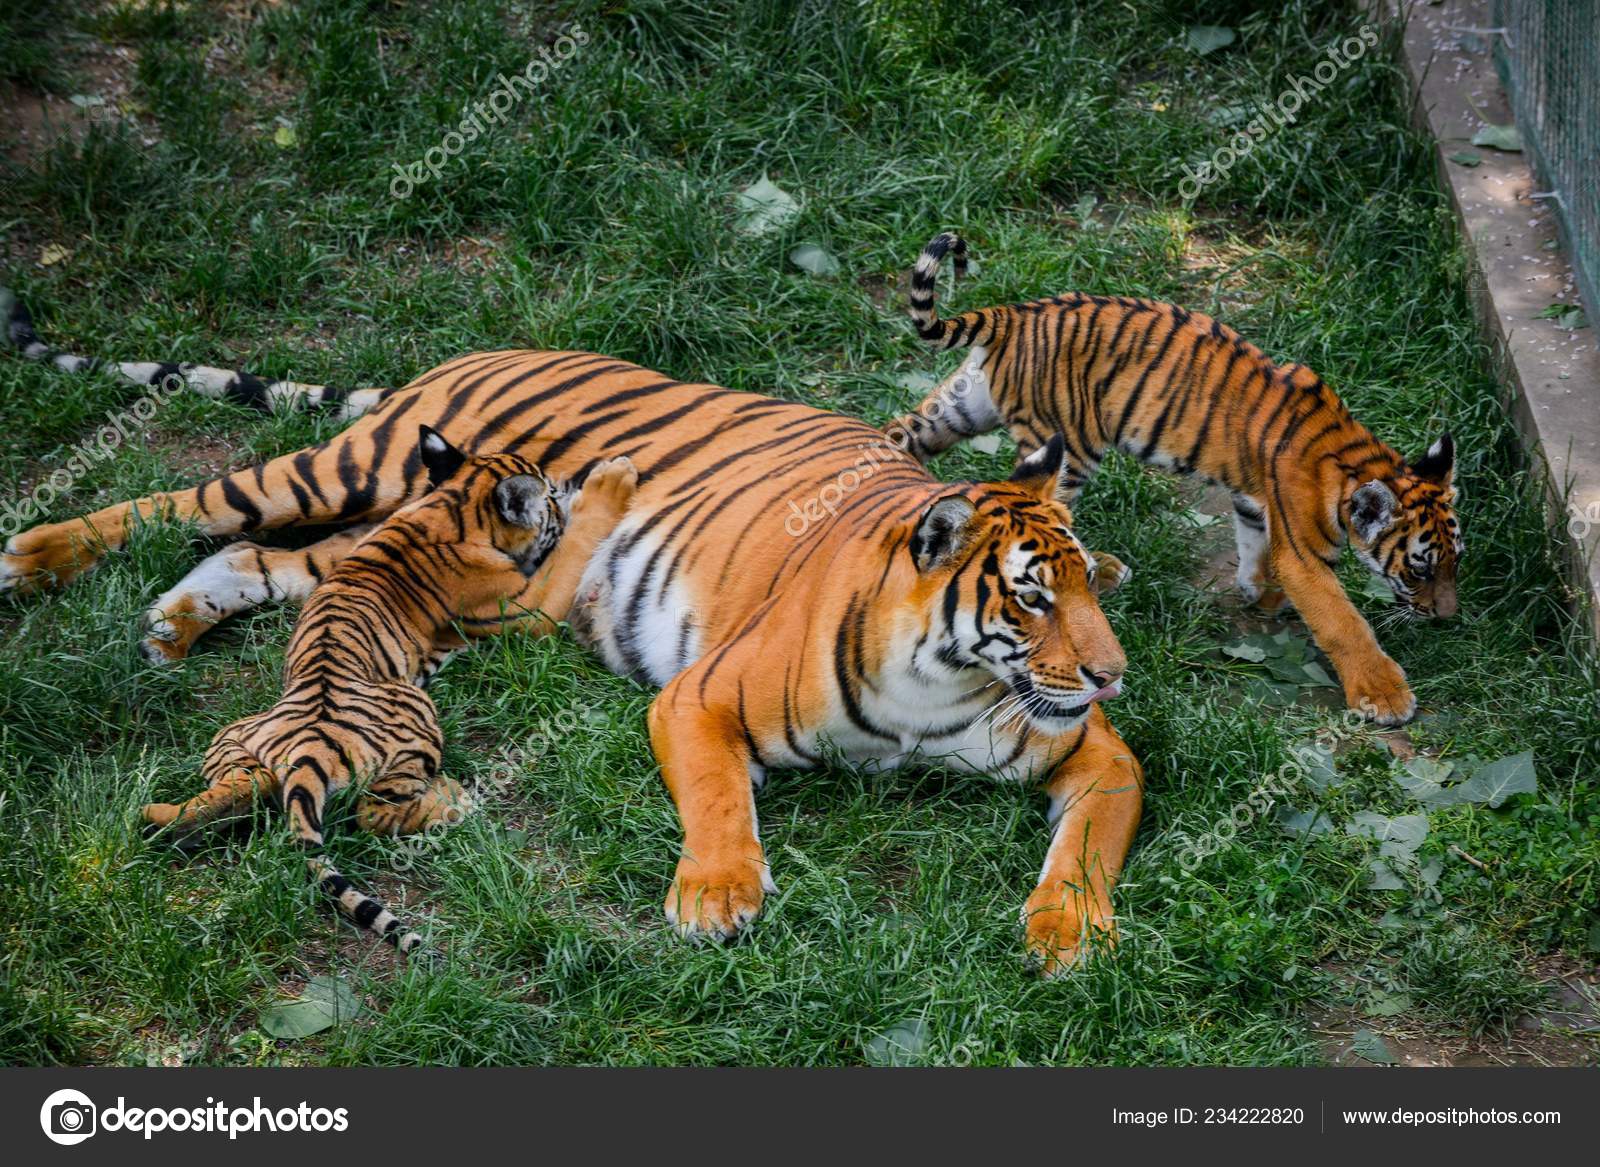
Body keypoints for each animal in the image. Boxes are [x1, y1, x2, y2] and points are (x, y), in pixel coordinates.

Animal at [141, 427, 640, 953]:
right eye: (548, 497)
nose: (560, 503)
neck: (453, 504)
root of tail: (307, 750)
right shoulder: (532, 604)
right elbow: (575, 549)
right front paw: (612, 479)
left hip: (233, 737)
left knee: (245, 785)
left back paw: (160, 814)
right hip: (417, 716)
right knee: (372, 815)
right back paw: (453, 801)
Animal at [883, 232, 1463, 726]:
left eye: (1456, 562)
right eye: (1419, 569)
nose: (1447, 619)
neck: (1359, 462)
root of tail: (1015, 313)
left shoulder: (1254, 500)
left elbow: (1252, 538)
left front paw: (1259, 592)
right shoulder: (1306, 555)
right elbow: (1343, 621)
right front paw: (1384, 695)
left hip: (961, 408)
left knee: (900, 437)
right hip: (1068, 445)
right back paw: (1101, 569)